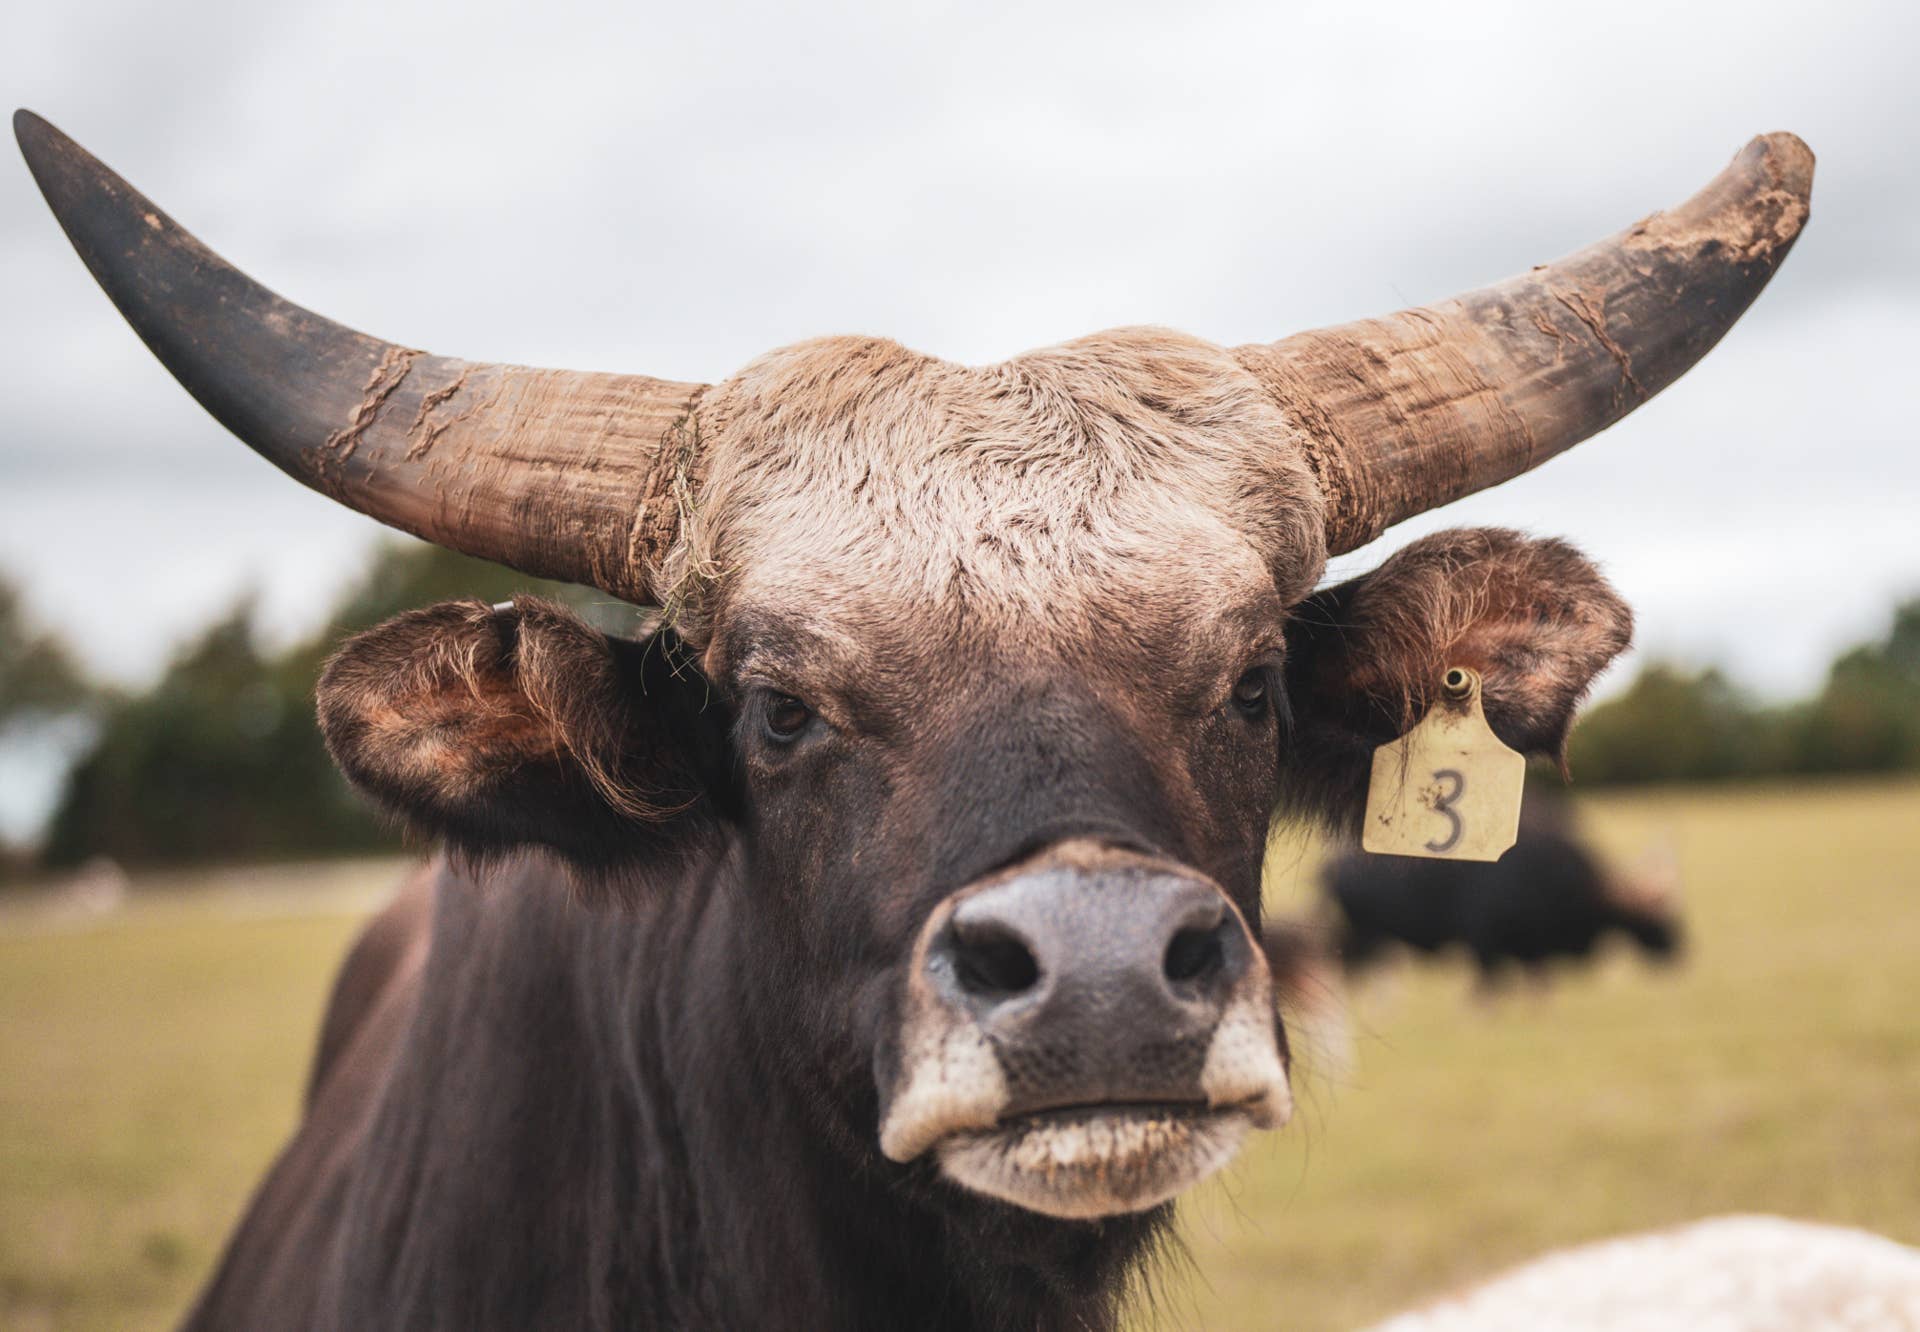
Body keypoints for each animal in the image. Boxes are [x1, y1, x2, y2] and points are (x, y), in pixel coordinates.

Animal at [1322, 792, 1682, 990]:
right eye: (1658, 917)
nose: (1681, 949)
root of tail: (1331, 867)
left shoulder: (1535, 951)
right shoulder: (1485, 941)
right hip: (1365, 937)